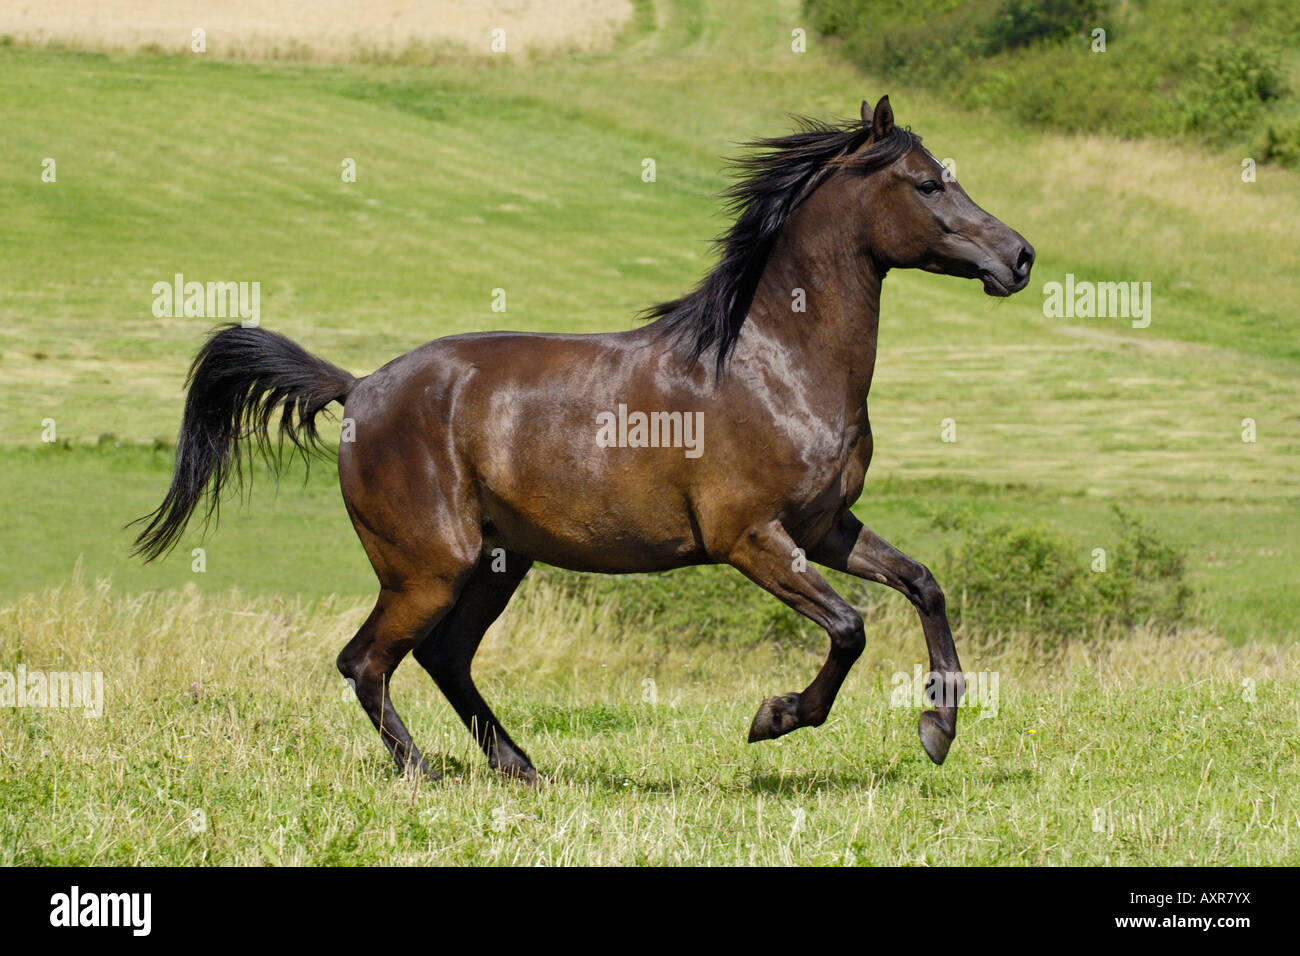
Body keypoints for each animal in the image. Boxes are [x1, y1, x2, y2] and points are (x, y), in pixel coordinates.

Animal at [132, 97, 1034, 781]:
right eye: (927, 183)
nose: (1019, 257)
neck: (771, 363)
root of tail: (358, 388)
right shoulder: (752, 540)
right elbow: (850, 628)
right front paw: (774, 717)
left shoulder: (823, 529)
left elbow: (922, 585)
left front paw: (938, 728)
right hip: (429, 567)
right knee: (367, 662)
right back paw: (422, 773)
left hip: (498, 563)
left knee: (444, 658)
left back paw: (521, 768)